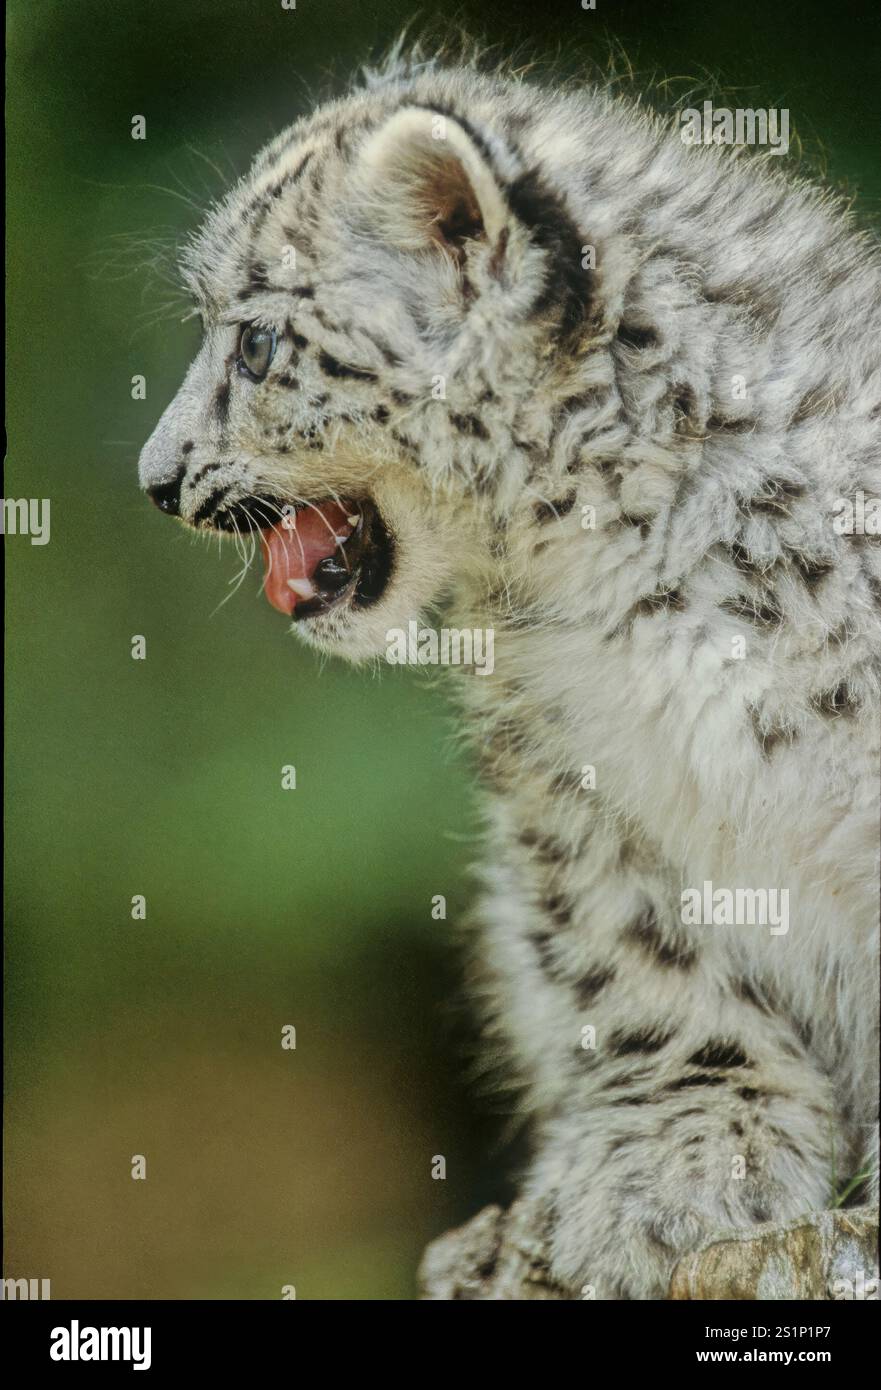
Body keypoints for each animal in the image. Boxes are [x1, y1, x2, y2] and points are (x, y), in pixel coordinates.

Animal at [137, 44, 881, 1299]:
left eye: (255, 344)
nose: (155, 477)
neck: (630, 561)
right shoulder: (561, 774)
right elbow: (624, 952)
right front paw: (685, 1149)